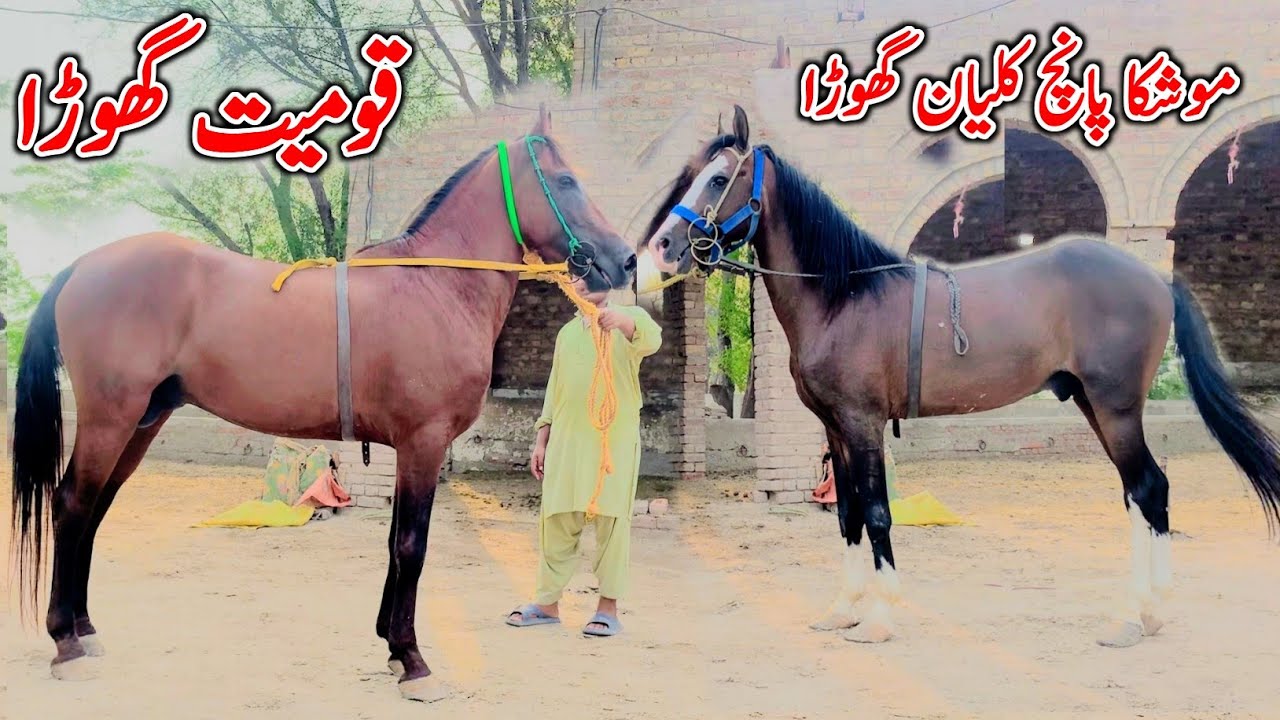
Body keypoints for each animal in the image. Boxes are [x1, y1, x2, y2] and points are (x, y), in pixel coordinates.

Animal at [10, 107, 637, 702]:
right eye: (567, 180)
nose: (626, 259)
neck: (435, 286)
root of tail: (84, 265)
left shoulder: (409, 450)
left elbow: (394, 543)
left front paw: (391, 647)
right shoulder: (423, 443)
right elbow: (412, 546)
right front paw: (414, 662)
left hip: (141, 420)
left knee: (94, 510)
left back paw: (85, 630)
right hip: (110, 418)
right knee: (71, 505)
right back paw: (65, 643)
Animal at [641, 105, 1280, 648]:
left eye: (718, 180)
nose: (663, 247)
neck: (846, 295)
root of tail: (1154, 279)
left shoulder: (864, 424)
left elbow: (877, 513)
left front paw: (880, 617)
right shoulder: (834, 429)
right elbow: (848, 514)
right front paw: (844, 608)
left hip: (1116, 408)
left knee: (1149, 489)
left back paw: (1136, 615)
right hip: (1094, 406)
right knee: (1139, 496)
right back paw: (1143, 611)